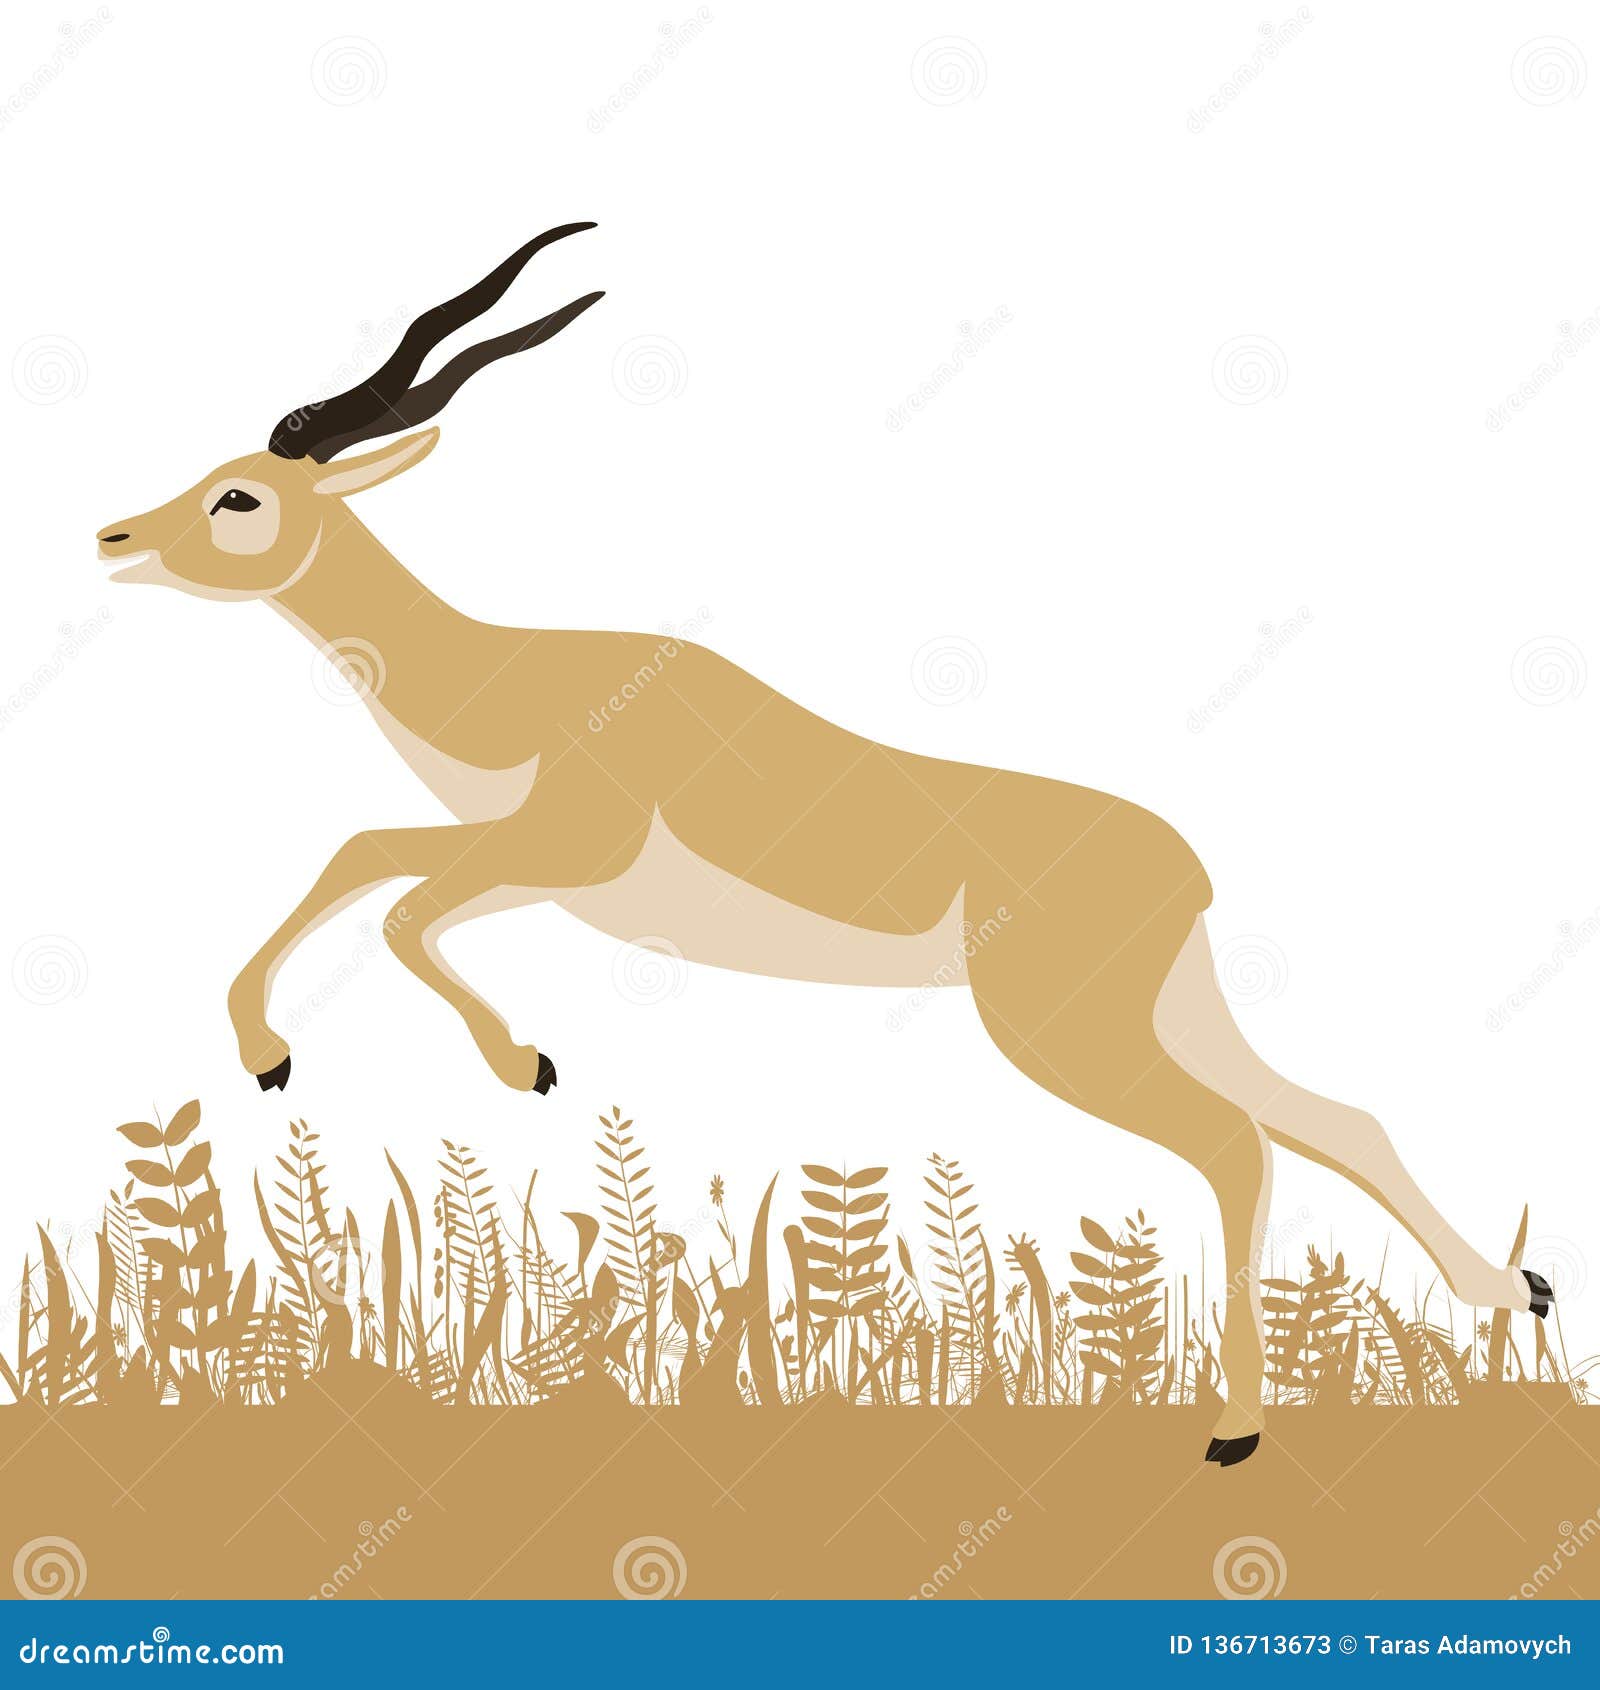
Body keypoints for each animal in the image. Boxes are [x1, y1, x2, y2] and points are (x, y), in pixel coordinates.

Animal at [96, 223, 1552, 1463]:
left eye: (240, 498)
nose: (112, 534)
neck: (519, 679)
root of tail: (1183, 865)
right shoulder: (503, 844)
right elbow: (356, 853)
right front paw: (270, 1054)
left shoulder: (567, 857)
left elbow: (400, 910)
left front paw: (529, 1064)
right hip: (1163, 1008)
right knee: (1333, 1117)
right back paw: (1513, 1287)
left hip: (1062, 1032)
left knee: (1239, 1143)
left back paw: (1235, 1428)